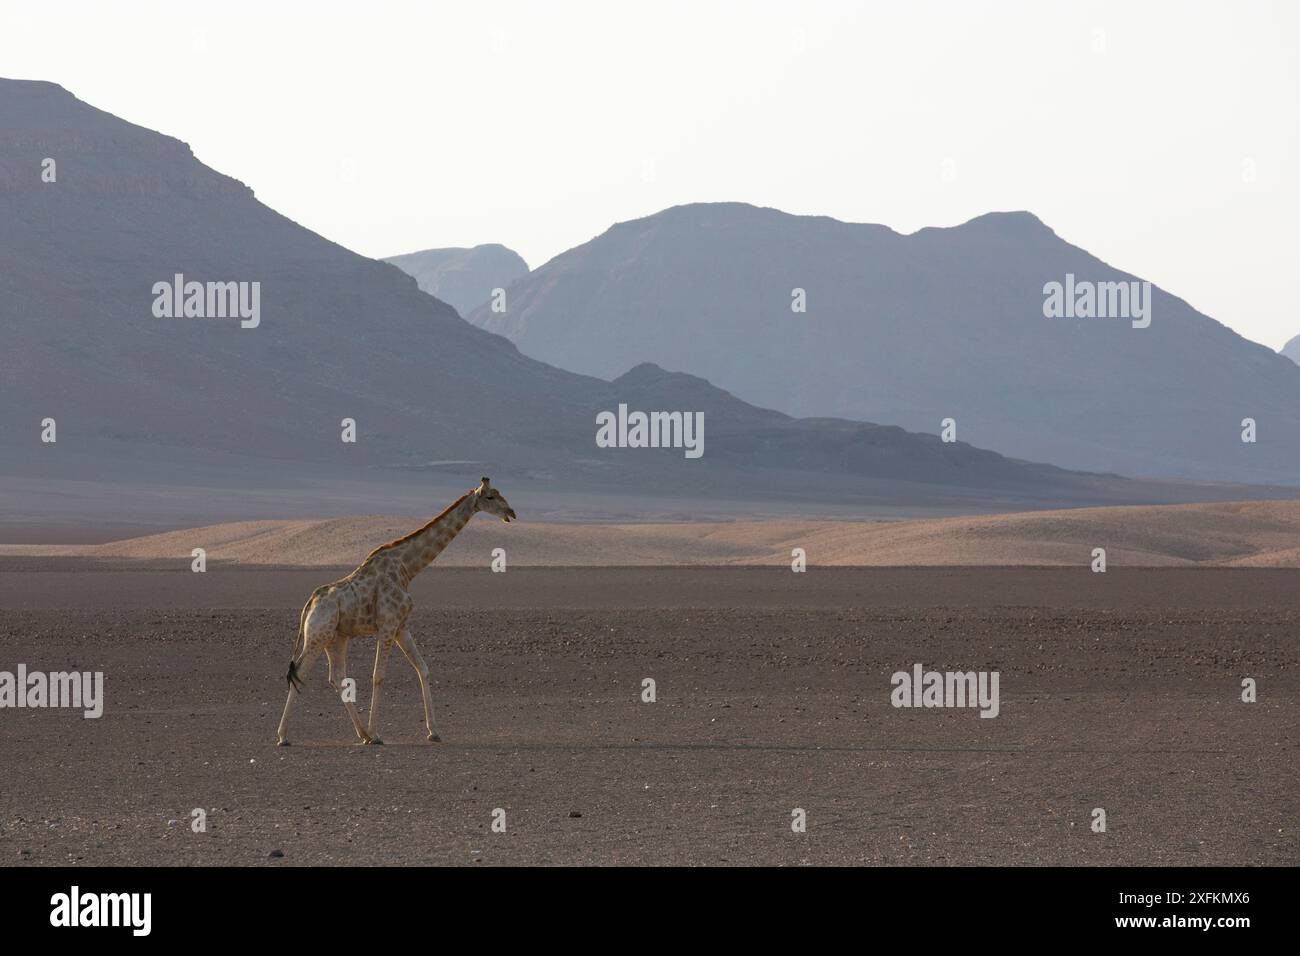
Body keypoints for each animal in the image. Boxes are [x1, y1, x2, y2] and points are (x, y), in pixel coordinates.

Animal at [275, 477, 516, 746]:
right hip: (317, 636)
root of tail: (310, 603)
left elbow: (423, 669)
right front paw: (377, 734)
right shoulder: (388, 625)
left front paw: (433, 731)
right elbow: (378, 675)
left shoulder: (402, 626)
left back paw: (362, 733)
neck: (407, 568)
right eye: (491, 497)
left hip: (336, 638)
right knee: (300, 673)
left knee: (336, 677)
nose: (511, 513)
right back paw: (284, 736)